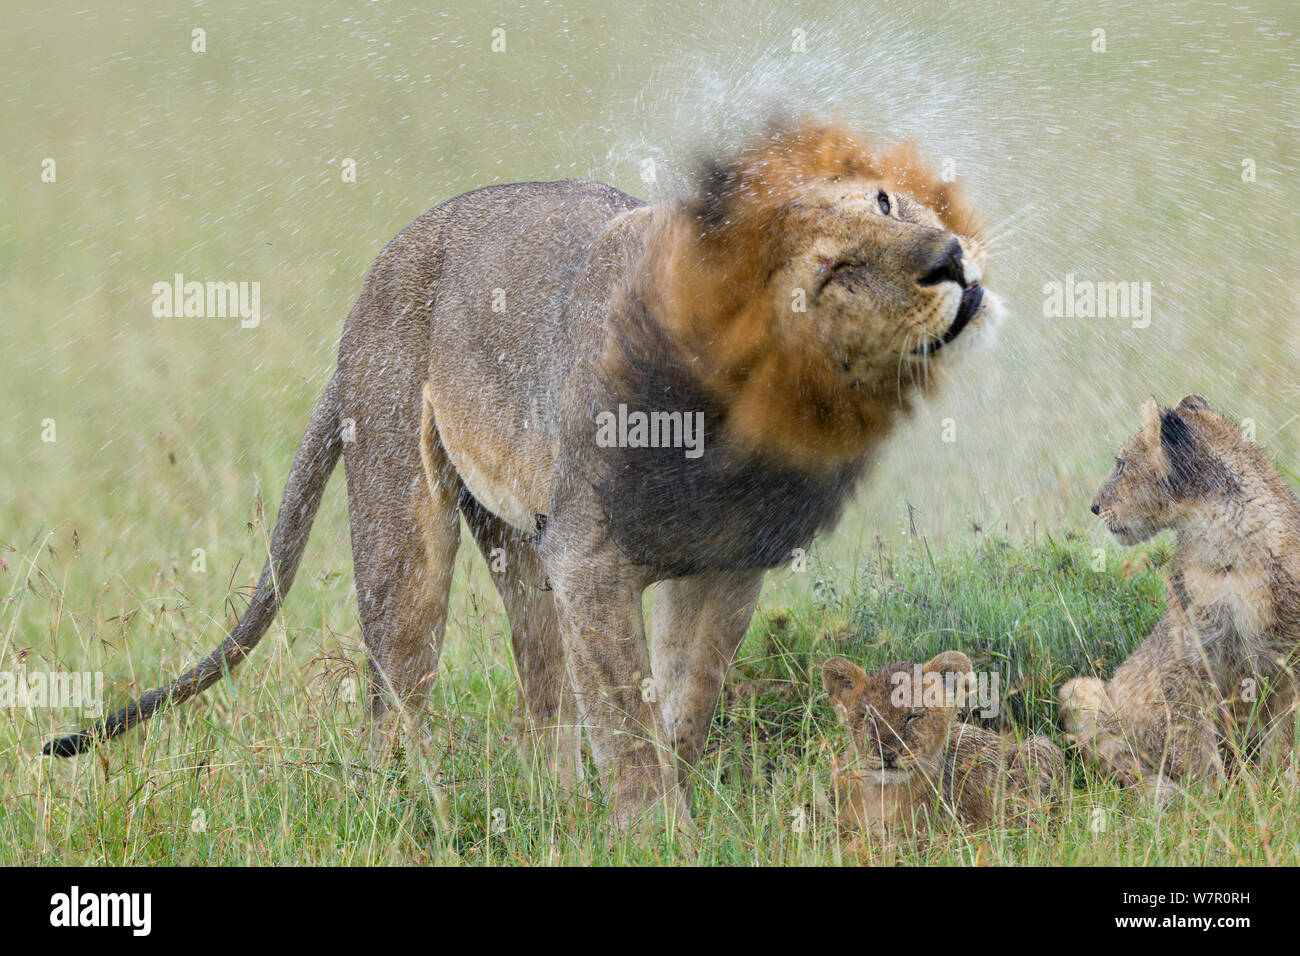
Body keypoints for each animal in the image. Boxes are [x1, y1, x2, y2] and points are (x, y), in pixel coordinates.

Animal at [44, 117, 1004, 832]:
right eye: (837, 269)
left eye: (888, 200)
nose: (951, 256)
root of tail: (370, 288)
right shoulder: (590, 557)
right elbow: (623, 713)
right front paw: (655, 833)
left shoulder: (730, 563)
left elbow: (685, 698)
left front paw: (669, 797)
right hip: (406, 536)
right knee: (395, 694)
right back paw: (412, 814)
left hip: (517, 543)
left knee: (540, 691)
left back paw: (558, 806)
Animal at [1060, 395, 1300, 796]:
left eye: (1121, 464)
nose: (1094, 506)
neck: (1227, 544)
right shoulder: (1185, 659)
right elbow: (1194, 741)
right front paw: (1213, 800)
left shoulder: (1292, 657)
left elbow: (1287, 734)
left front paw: (1277, 785)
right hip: (1080, 688)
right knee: (1121, 761)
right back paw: (1163, 793)